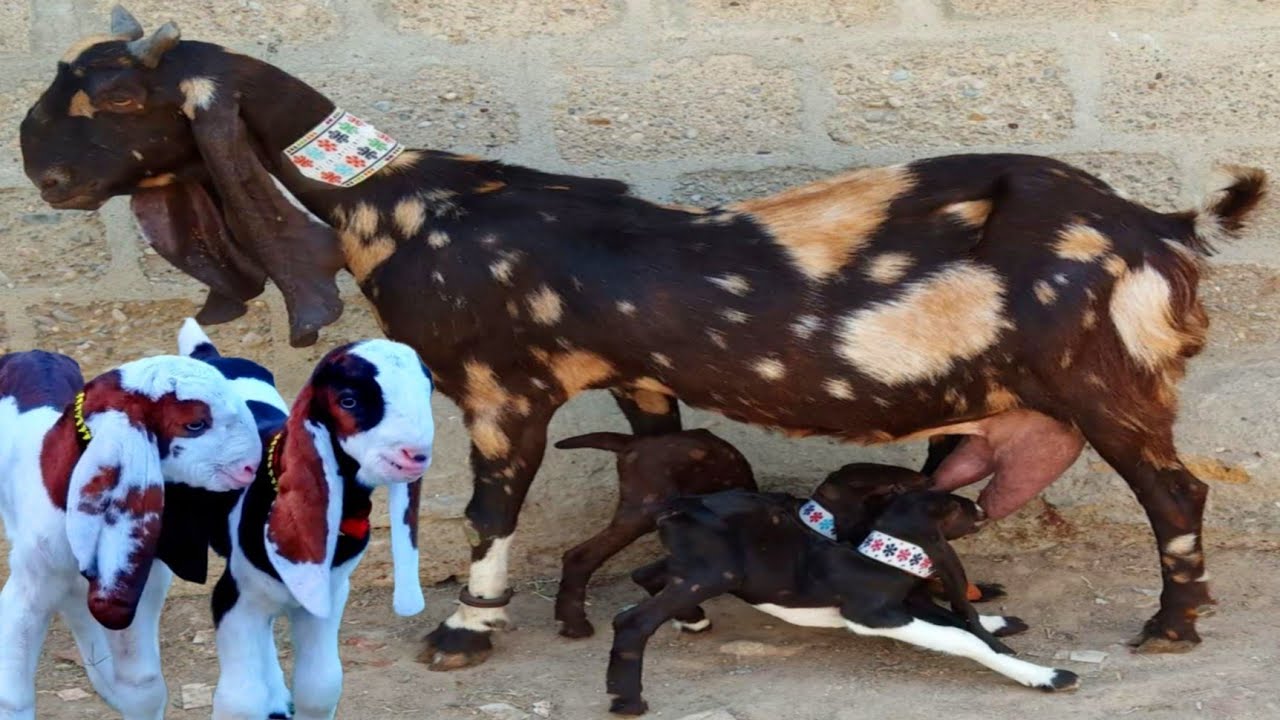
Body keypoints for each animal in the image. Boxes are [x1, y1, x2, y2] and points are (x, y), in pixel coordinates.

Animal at [0, 349, 261, 719]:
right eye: (195, 424)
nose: (251, 467)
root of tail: (33, 354)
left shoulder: (138, 588)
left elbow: (142, 686)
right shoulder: (29, 588)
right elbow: (14, 698)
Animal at [175, 321, 434, 720]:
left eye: (428, 391)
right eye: (348, 400)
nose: (415, 454)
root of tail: (210, 356)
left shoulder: (329, 596)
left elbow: (320, 686)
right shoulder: (234, 597)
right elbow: (240, 700)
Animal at [606, 465, 1077, 715]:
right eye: (956, 507)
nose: (980, 506)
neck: (881, 558)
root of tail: (676, 507)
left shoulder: (912, 602)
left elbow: (961, 620)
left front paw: (997, 625)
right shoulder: (878, 616)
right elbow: (964, 637)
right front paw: (1044, 675)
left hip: (696, 567)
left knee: (645, 574)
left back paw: (692, 619)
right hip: (714, 572)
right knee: (631, 620)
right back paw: (627, 698)